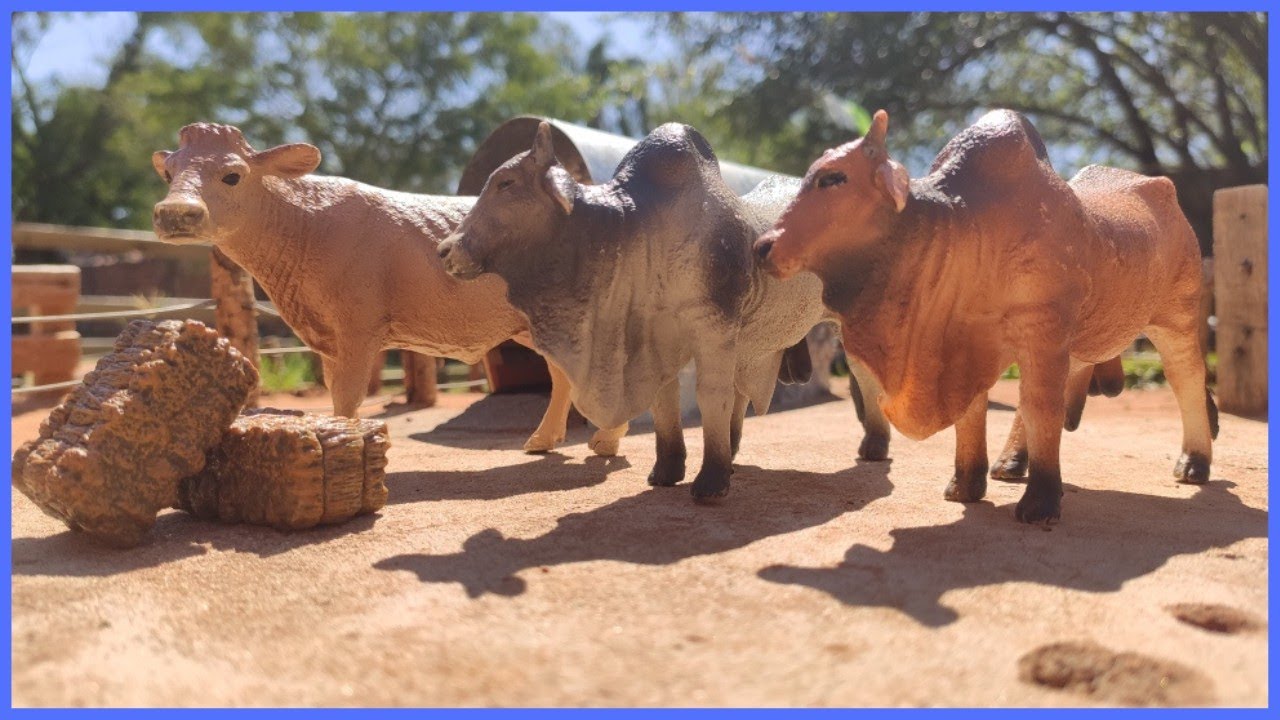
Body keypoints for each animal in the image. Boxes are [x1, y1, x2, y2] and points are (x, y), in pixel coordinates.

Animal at [151, 123, 625, 456]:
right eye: (169, 173)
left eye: (232, 175)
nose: (175, 213)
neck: (304, 225)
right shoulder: (328, 339)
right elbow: (334, 393)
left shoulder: (358, 328)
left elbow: (347, 397)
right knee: (561, 375)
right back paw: (545, 440)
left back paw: (605, 438)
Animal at [437, 122, 892, 500]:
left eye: (506, 183)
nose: (445, 250)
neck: (634, 233)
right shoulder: (655, 337)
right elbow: (664, 405)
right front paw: (669, 471)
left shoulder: (713, 327)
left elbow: (711, 396)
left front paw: (710, 480)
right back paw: (734, 453)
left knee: (866, 380)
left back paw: (874, 447)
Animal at [754, 109, 1217, 523]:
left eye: (834, 178)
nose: (762, 246)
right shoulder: (967, 339)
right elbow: (973, 414)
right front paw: (966, 486)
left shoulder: (1040, 329)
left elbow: (1040, 407)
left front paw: (1041, 501)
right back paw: (1011, 463)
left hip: (1176, 317)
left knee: (1187, 380)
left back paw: (1194, 463)